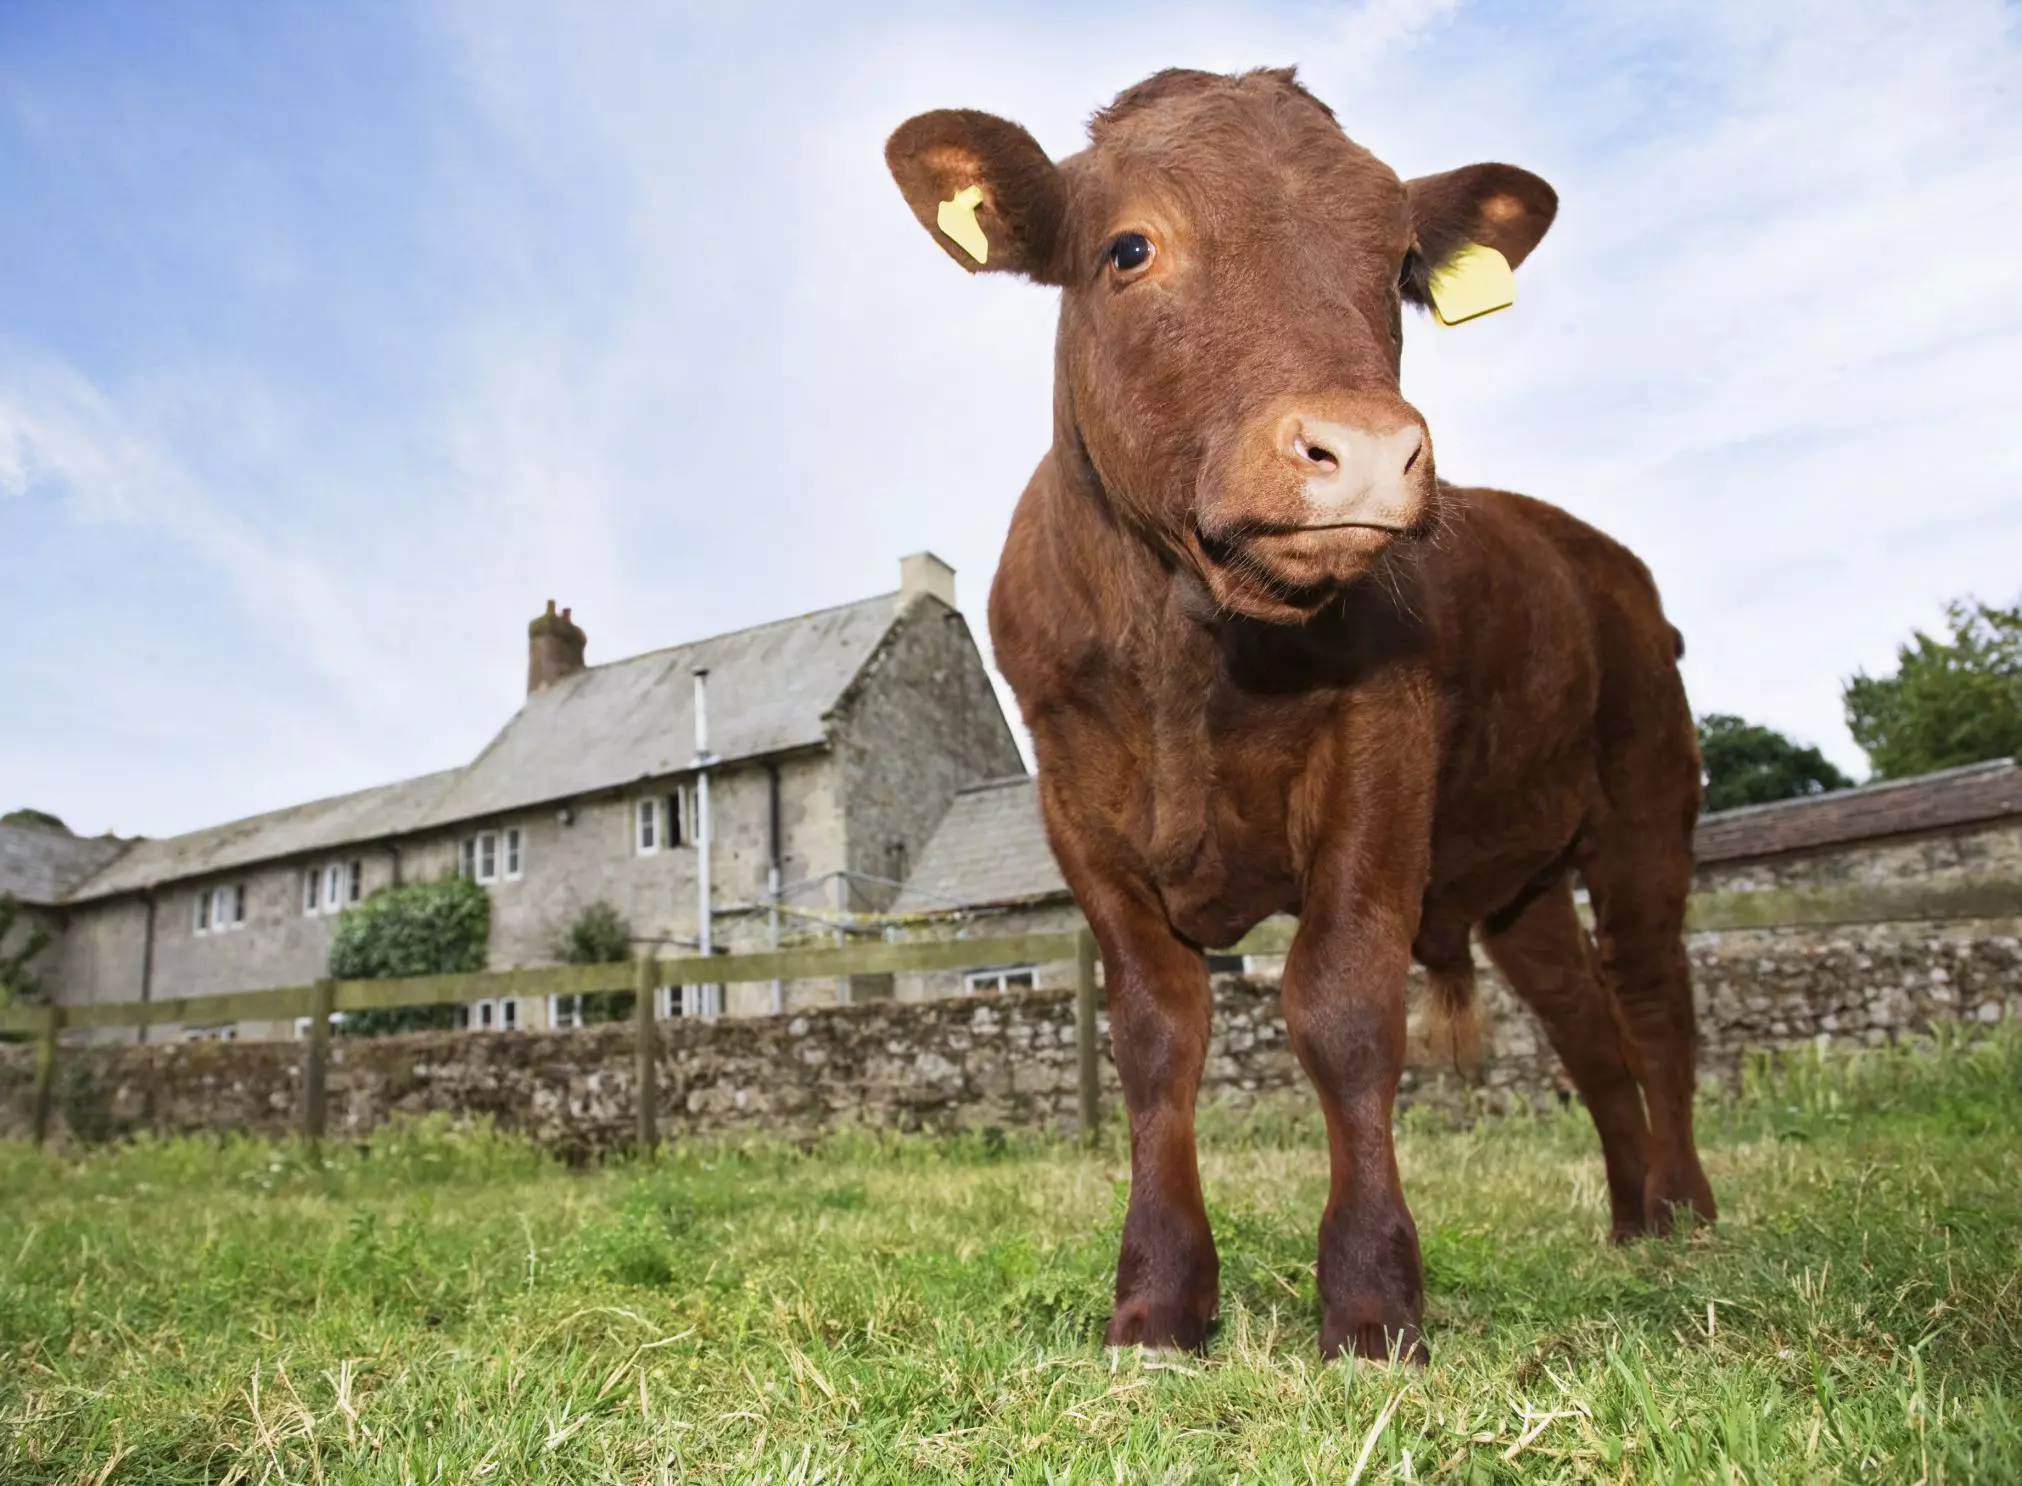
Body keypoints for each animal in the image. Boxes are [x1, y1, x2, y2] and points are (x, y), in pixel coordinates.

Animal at [881, 72, 1706, 1374]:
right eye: (1129, 247)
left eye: (1399, 264)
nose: (1365, 448)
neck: (1187, 647)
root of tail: (1599, 555)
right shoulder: (1076, 810)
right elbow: (1157, 1035)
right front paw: (1158, 1307)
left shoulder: (1379, 762)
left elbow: (1343, 1010)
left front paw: (1372, 1305)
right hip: (1523, 878)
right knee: (1586, 1028)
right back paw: (1629, 1221)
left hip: (1643, 807)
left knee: (1652, 1002)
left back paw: (1684, 1214)